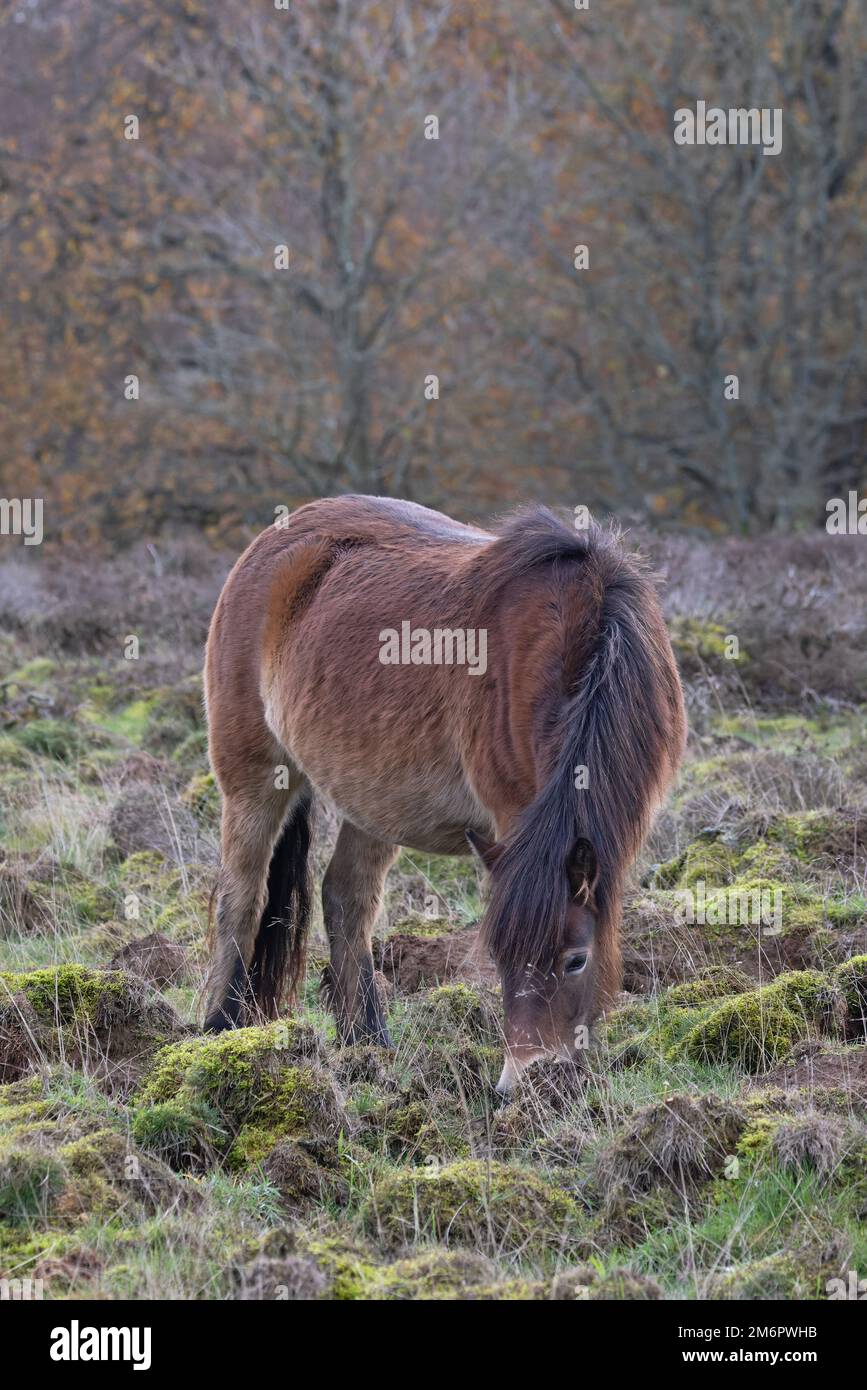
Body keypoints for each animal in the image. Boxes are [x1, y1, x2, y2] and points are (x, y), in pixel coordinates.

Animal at [202, 495, 686, 1092]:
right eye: (498, 958)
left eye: (575, 959)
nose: (525, 1081)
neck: (587, 635)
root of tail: (273, 544)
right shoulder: (512, 815)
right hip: (255, 778)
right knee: (242, 897)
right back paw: (221, 1032)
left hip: (374, 799)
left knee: (347, 899)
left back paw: (368, 1045)